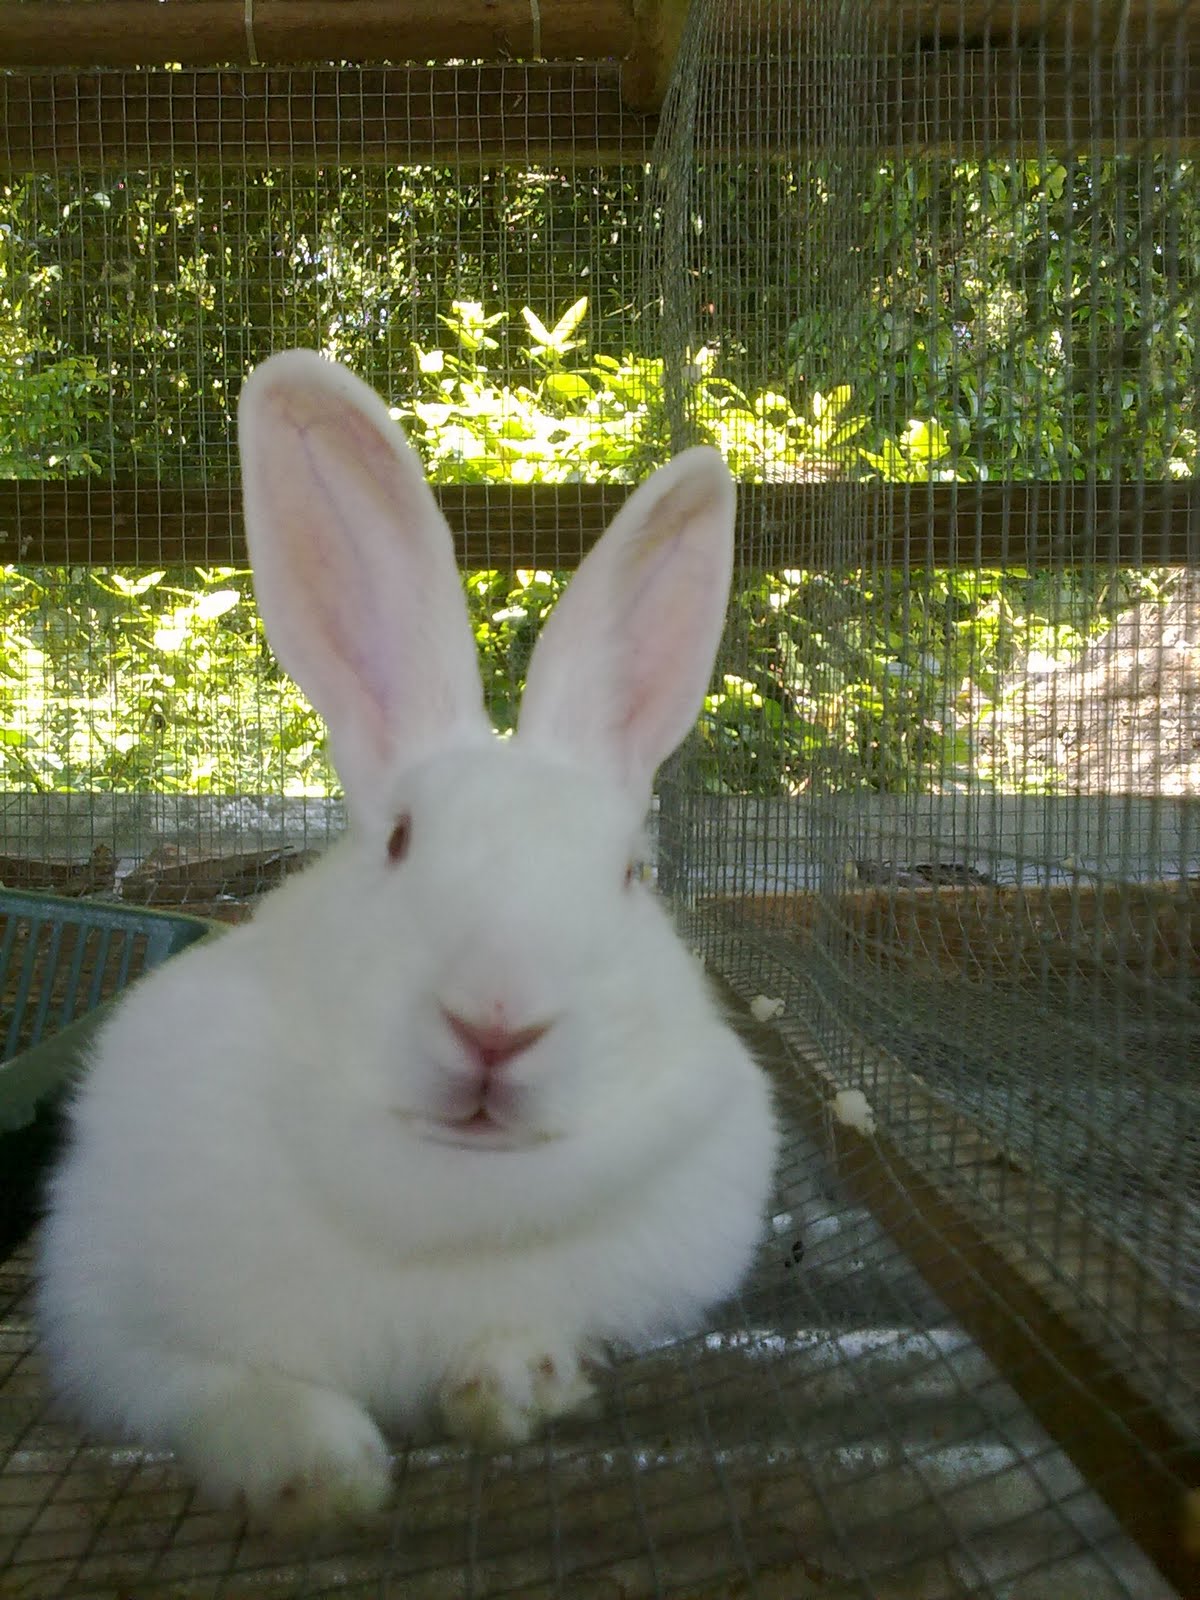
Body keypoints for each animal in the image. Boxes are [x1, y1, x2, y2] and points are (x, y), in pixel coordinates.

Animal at [36, 349, 780, 1530]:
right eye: (396, 840)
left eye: (630, 875)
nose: (496, 1025)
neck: (442, 1190)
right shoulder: (103, 1318)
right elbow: (207, 1386)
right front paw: (322, 1474)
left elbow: (529, 1337)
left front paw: (512, 1386)